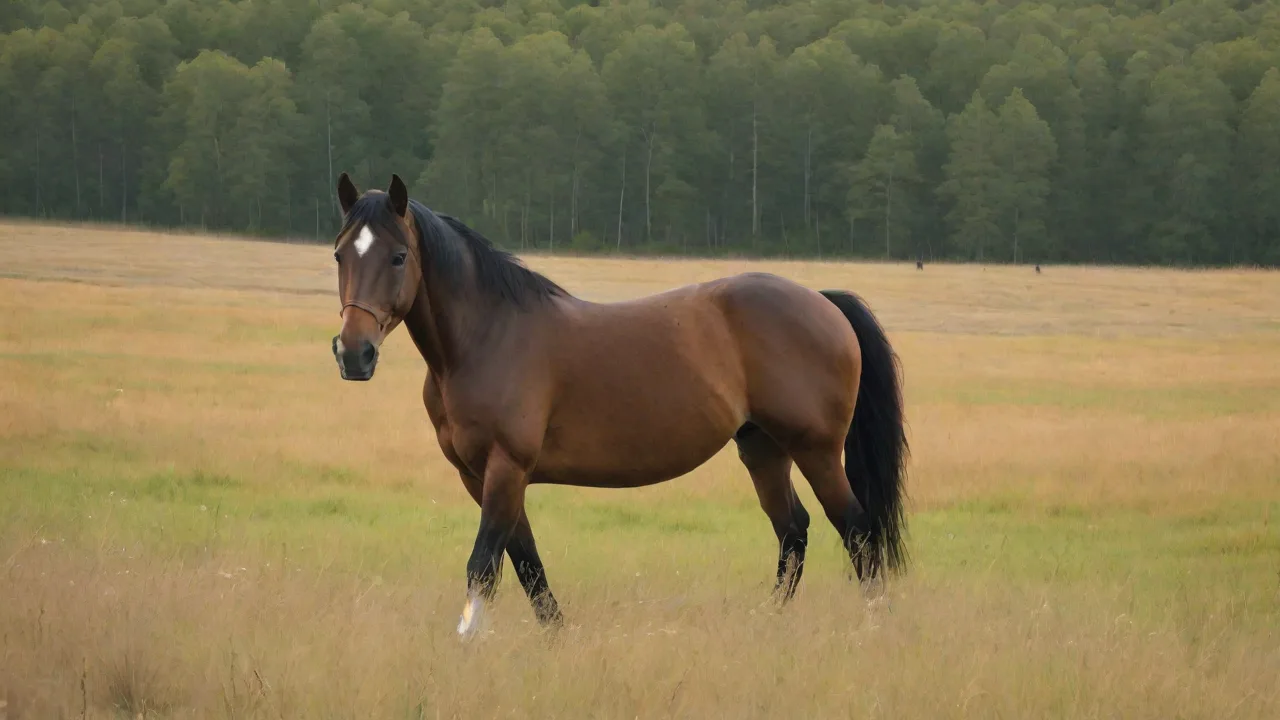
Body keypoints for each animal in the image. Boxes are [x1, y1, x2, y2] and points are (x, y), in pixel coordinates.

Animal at [329, 173, 910, 637]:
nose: (354, 354)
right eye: (339, 255)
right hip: (762, 450)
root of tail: (822, 301)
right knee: (793, 531)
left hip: (816, 451)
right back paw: (767, 624)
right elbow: (526, 563)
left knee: (858, 531)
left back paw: (872, 627)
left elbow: (484, 566)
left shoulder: (506, 468)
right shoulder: (480, 476)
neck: (488, 335)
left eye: (398, 256)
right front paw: (555, 637)